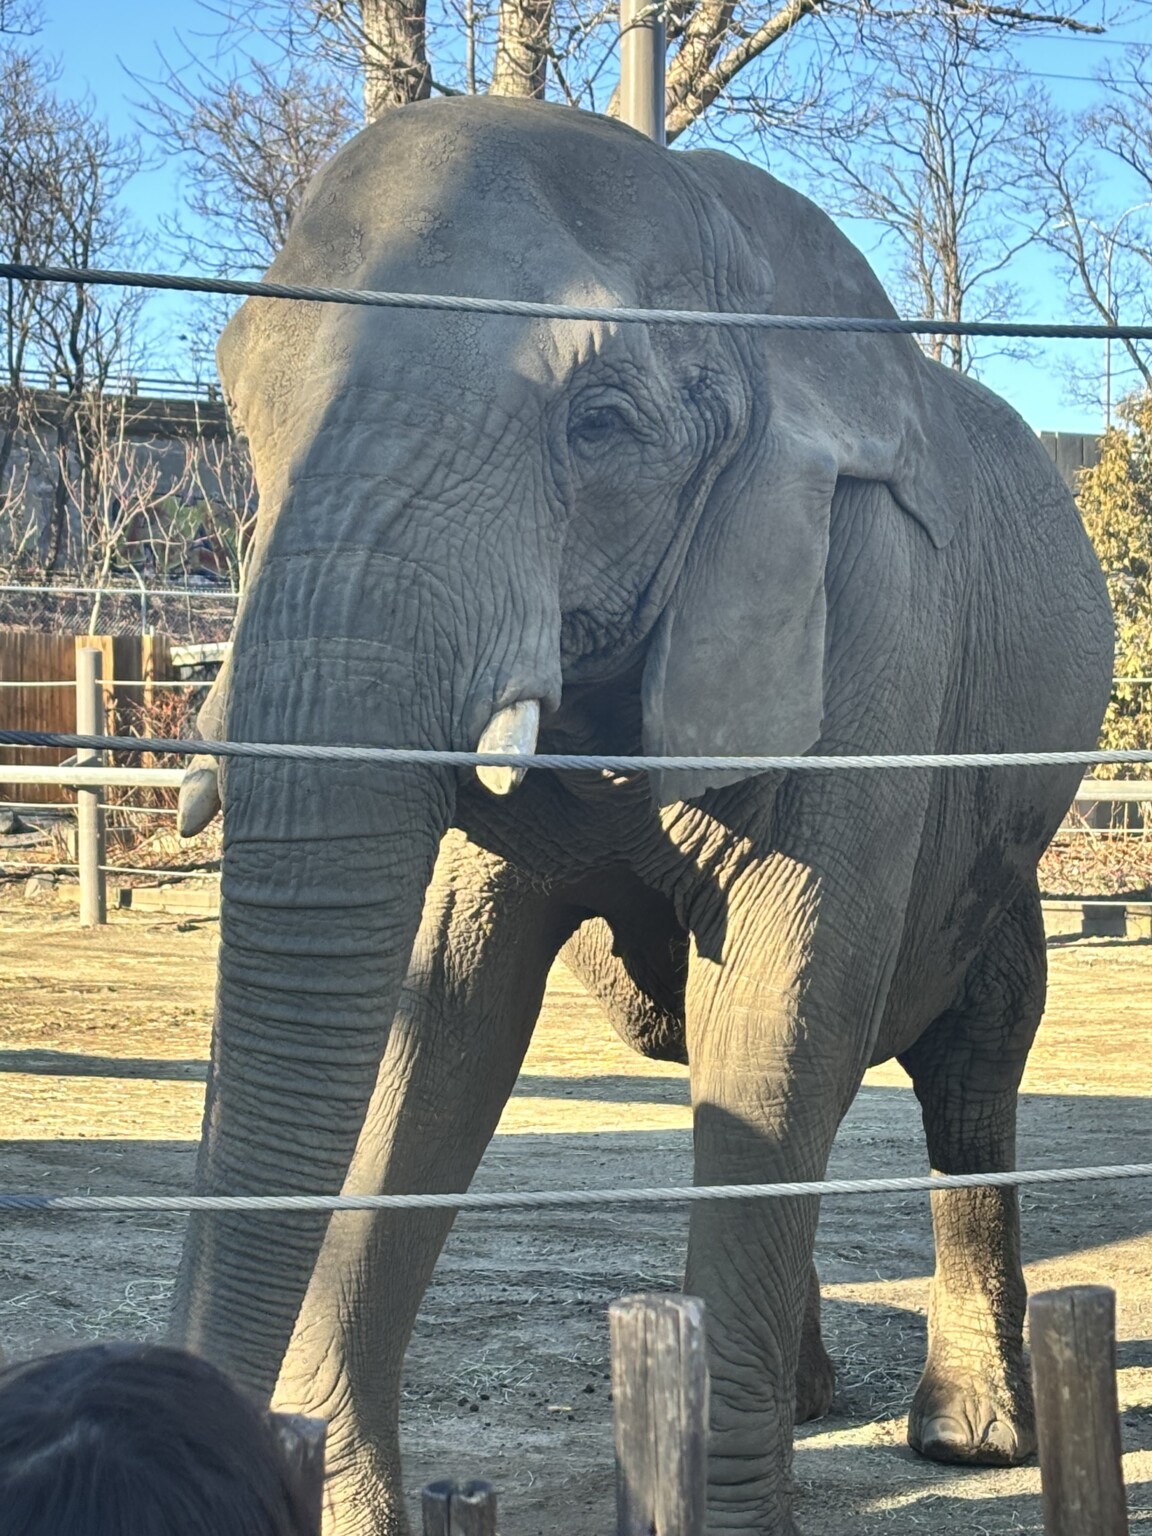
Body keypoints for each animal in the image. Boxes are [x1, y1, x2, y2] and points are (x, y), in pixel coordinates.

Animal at [172, 96, 1113, 1535]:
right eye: (232, 405)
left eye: (601, 424)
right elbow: (441, 1015)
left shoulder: (866, 609)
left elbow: (779, 1007)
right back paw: (807, 1400)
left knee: (964, 1056)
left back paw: (964, 1437)